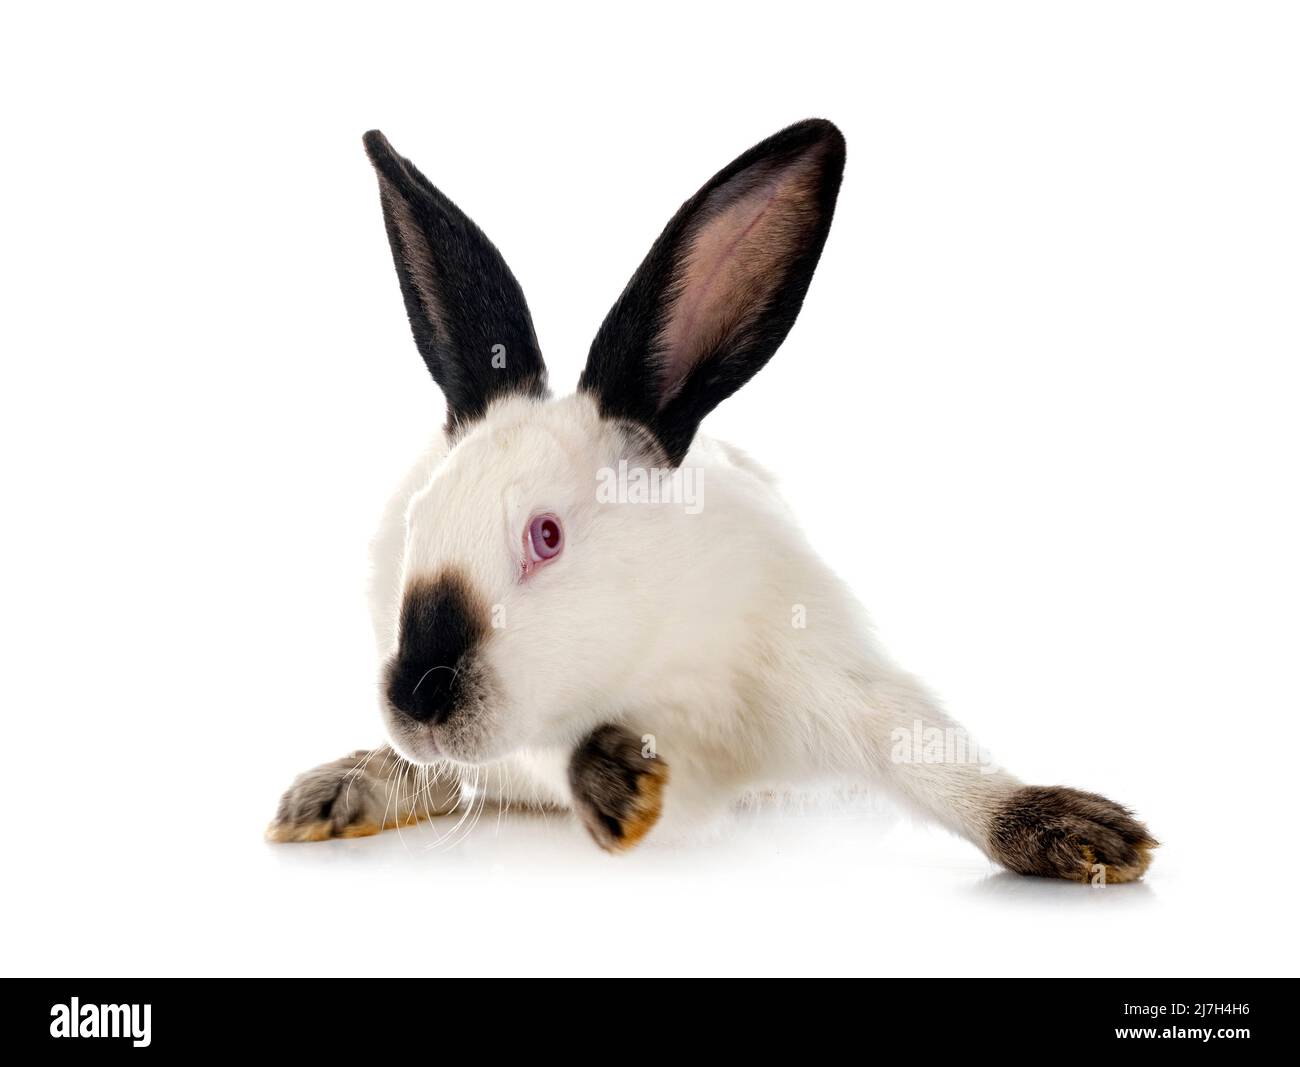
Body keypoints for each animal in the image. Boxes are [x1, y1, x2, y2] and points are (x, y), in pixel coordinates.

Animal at [268, 119, 1156, 882]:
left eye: (546, 535)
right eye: (419, 523)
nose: (417, 703)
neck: (652, 660)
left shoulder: (819, 670)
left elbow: (926, 754)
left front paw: (1082, 835)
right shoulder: (531, 737)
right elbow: (545, 752)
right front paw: (623, 788)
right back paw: (332, 794)